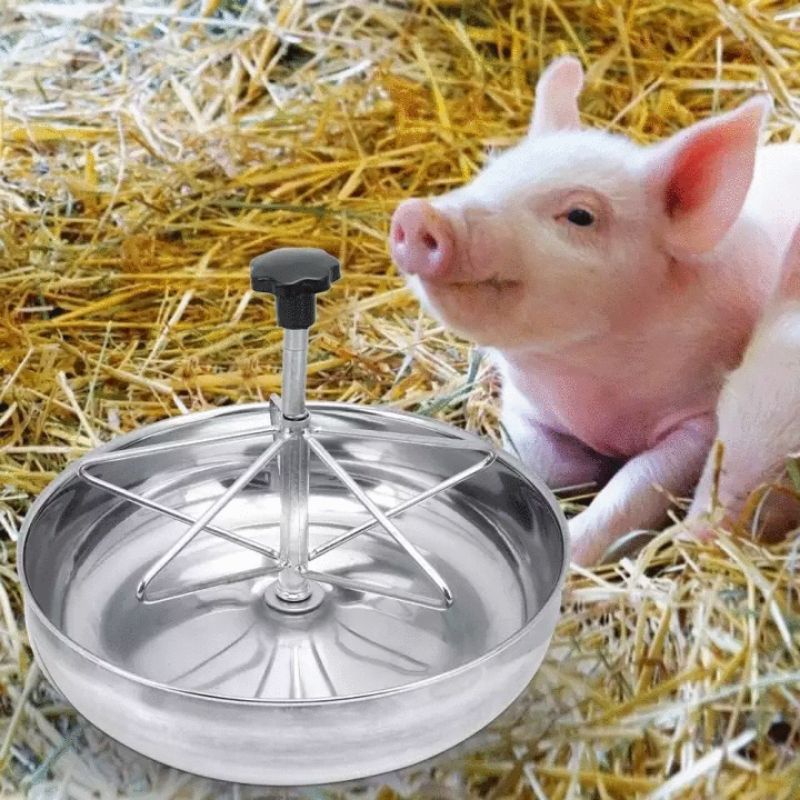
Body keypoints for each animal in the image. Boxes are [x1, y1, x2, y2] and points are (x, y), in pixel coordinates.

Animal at [388, 56, 800, 566]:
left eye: (581, 216)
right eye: (489, 171)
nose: (417, 215)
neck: (591, 388)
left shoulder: (701, 419)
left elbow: (636, 486)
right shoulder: (524, 405)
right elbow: (542, 460)